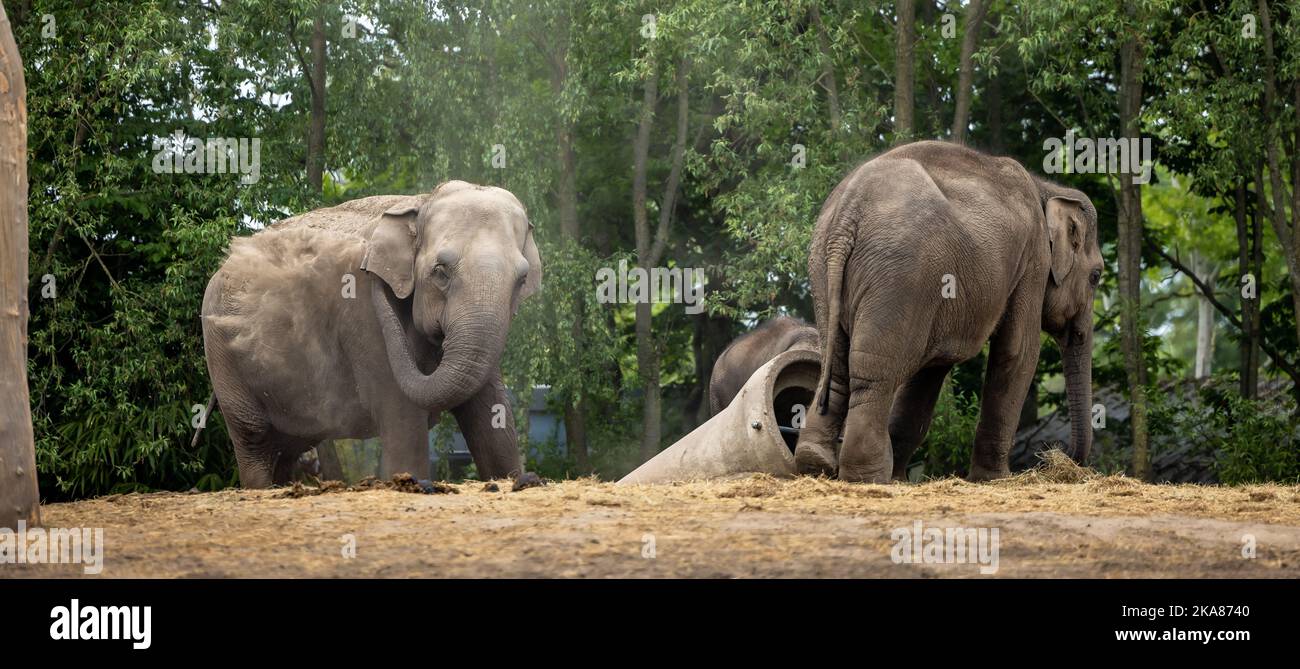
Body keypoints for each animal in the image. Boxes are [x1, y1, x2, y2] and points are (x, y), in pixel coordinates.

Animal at [200, 181, 542, 488]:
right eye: (441, 272)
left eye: (522, 279)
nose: (366, 267)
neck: (420, 201)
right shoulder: (362, 316)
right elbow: (402, 419)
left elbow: (490, 414)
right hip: (223, 358)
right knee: (254, 437)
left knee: (289, 446)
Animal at [794, 141, 1101, 483]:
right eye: (1096, 276)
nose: (1062, 458)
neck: (1046, 188)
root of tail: (848, 214)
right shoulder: (1033, 260)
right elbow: (1018, 351)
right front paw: (995, 479)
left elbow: (930, 373)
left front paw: (901, 479)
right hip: (901, 277)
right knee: (873, 374)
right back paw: (868, 476)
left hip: (824, 271)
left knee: (836, 367)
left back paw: (815, 462)